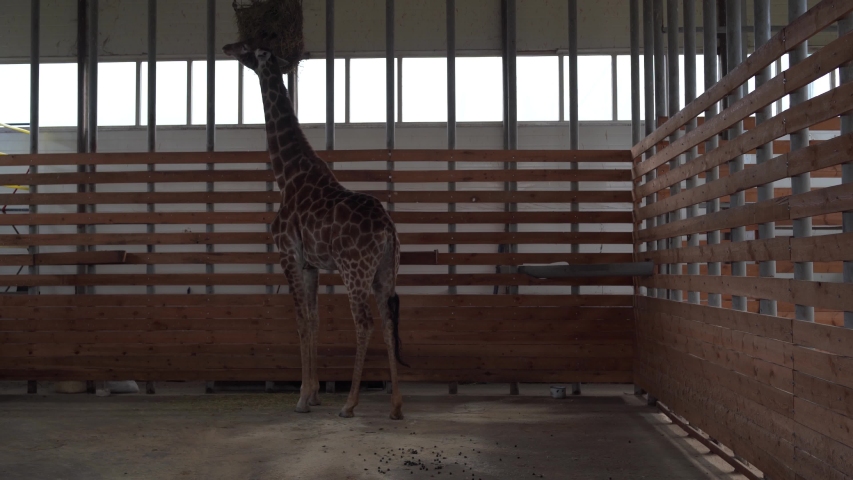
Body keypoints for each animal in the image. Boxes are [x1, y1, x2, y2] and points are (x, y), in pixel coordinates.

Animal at [223, 42, 407, 420]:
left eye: (249, 49)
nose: (227, 47)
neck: (288, 174)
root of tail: (388, 231)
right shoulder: (311, 264)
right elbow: (315, 319)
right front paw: (315, 394)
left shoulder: (289, 255)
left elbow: (301, 320)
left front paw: (303, 397)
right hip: (385, 271)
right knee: (387, 320)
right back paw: (395, 405)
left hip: (354, 270)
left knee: (364, 322)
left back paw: (350, 403)